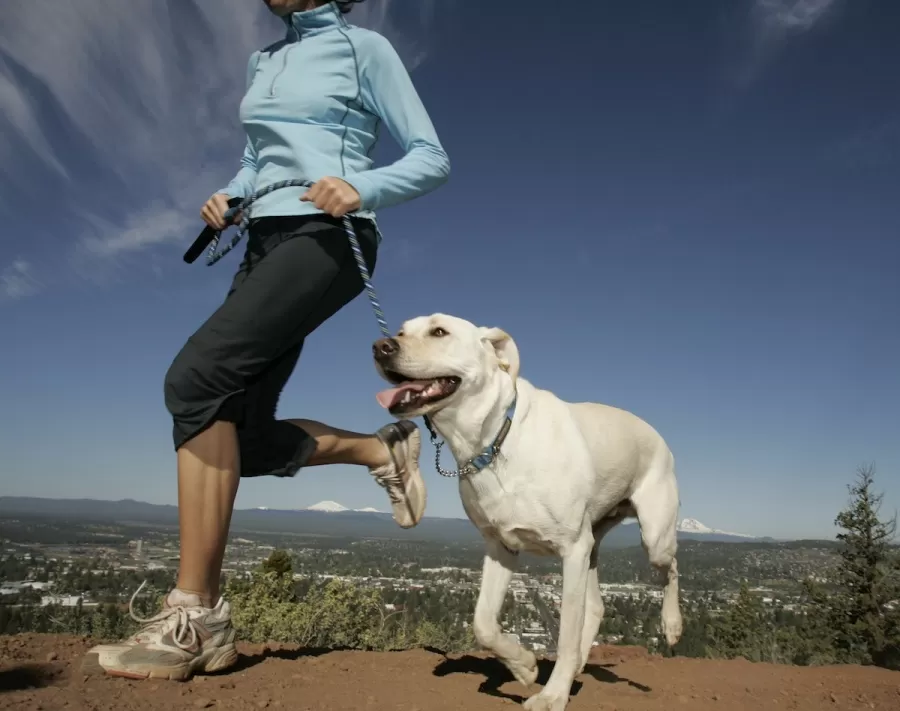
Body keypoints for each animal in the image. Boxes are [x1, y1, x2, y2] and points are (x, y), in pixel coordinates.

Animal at [372, 316, 684, 711]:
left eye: (439, 331)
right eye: (400, 331)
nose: (380, 347)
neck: (494, 441)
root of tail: (654, 432)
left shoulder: (572, 549)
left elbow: (564, 635)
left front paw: (552, 695)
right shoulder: (501, 547)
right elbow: (483, 623)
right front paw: (524, 666)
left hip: (652, 536)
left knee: (671, 568)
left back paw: (672, 626)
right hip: (593, 545)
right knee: (597, 606)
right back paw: (579, 665)